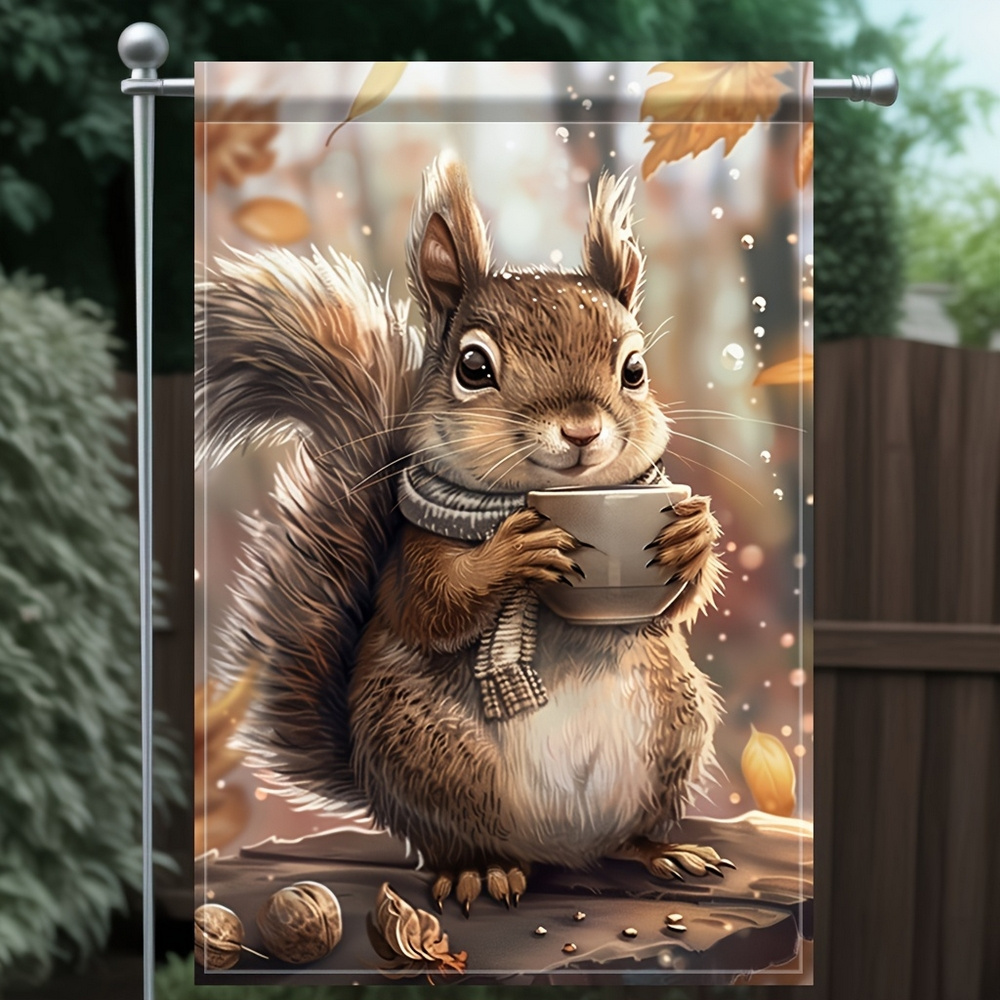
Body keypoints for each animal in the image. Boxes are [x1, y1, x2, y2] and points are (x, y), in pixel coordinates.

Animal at [196, 156, 730, 915]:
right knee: (460, 843)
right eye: (473, 367)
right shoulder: (411, 555)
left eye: (635, 371)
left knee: (629, 834)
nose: (581, 430)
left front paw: (692, 535)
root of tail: (562, 848)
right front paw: (514, 551)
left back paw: (661, 850)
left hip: (675, 725)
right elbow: (433, 606)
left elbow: (672, 608)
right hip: (433, 757)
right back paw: (481, 869)